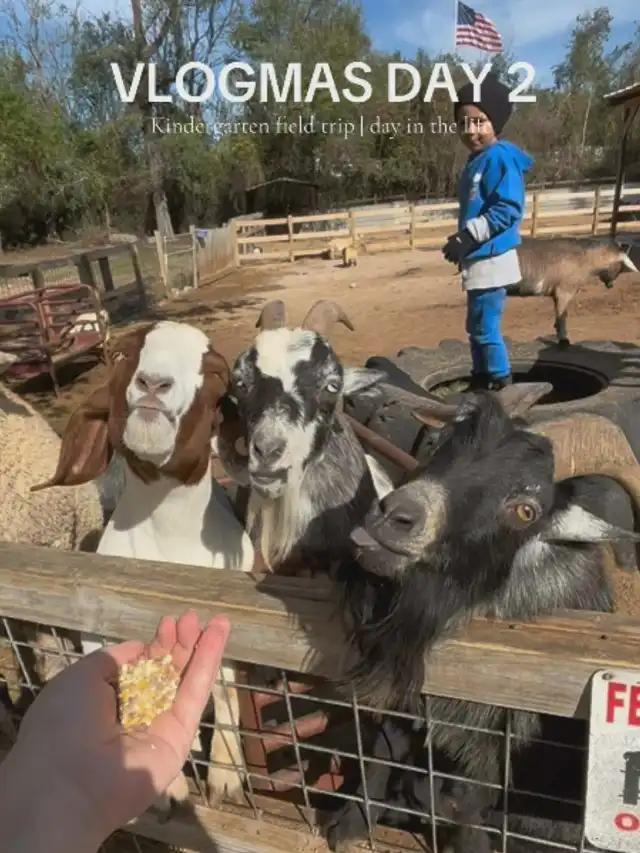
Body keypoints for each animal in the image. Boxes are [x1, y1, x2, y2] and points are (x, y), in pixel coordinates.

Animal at [31, 319, 255, 813]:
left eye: (217, 374)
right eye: (118, 355)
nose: (153, 384)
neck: (171, 544)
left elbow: (225, 685)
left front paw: (226, 775)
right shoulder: (97, 632)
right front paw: (167, 788)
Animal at [322, 391, 640, 853]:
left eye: (525, 510)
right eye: (438, 447)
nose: (394, 516)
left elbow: (468, 812)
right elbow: (379, 755)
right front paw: (347, 825)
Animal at [506, 236, 638, 346]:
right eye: (620, 267)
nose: (611, 285)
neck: (586, 258)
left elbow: (559, 315)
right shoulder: (565, 290)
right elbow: (563, 315)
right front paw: (564, 340)